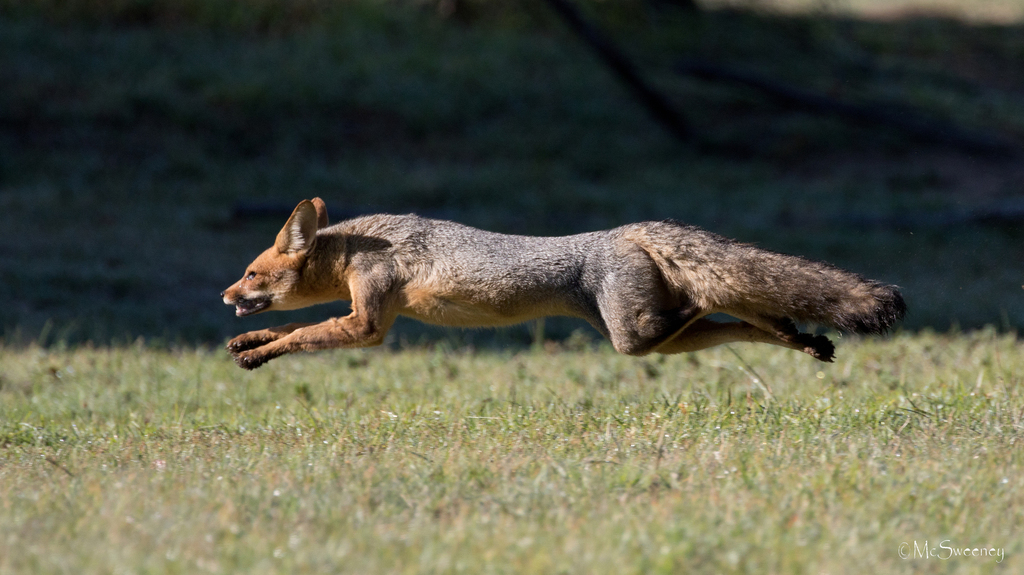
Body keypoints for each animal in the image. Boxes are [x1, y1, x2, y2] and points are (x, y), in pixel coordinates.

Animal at [221, 198, 905, 370]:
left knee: (715, 302)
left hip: (636, 336)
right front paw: (249, 342)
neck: (367, 243)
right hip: (643, 338)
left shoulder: (368, 325)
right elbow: (294, 325)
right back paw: (800, 338)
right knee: (742, 317)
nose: (226, 296)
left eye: (250, 272)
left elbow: (300, 332)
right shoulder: (365, 319)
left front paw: (258, 352)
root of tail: (625, 231)